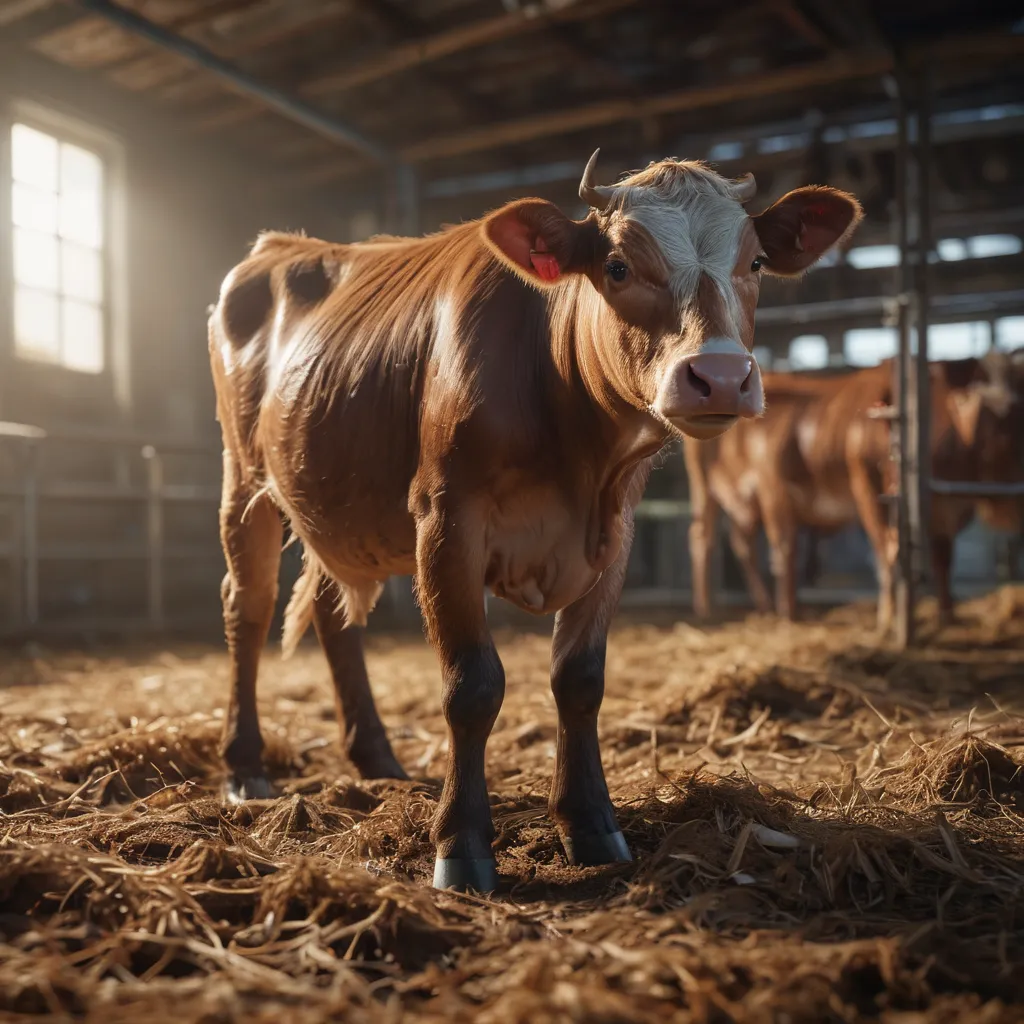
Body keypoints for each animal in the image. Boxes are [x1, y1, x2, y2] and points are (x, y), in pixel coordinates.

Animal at [208, 149, 860, 891]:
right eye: (618, 267)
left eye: (754, 263)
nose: (719, 376)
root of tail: (280, 244)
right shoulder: (446, 520)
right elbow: (472, 685)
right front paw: (461, 843)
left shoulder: (615, 533)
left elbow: (580, 680)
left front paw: (591, 822)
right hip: (245, 480)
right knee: (248, 605)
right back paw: (244, 766)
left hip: (338, 510)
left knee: (329, 610)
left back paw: (375, 758)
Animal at [685, 350, 1024, 630]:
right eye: (994, 422)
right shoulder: (852, 488)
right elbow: (881, 551)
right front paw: (888, 618)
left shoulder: (945, 506)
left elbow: (943, 557)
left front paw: (947, 615)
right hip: (708, 487)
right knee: (705, 536)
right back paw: (708, 611)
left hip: (744, 504)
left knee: (742, 544)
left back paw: (765, 606)